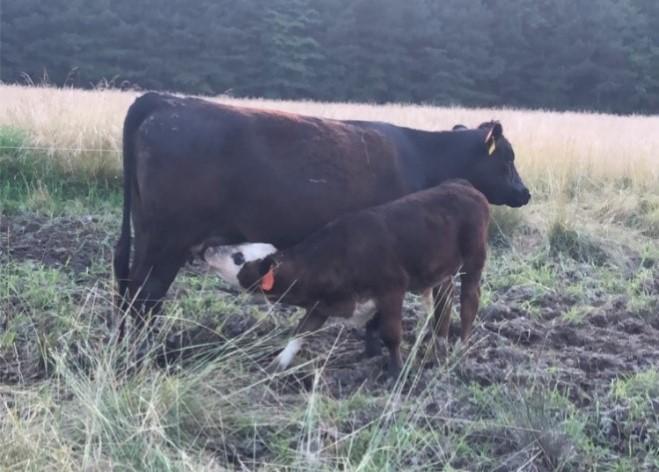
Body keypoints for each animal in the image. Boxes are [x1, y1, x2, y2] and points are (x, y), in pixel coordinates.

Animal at [113, 92, 530, 337]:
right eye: (508, 158)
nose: (525, 192)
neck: (425, 157)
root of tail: (165, 100)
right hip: (168, 240)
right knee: (145, 296)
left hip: (146, 234)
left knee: (130, 290)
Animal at [203, 180, 490, 377]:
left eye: (239, 257)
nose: (207, 249)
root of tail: (462, 185)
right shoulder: (320, 305)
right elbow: (300, 332)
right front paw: (277, 365)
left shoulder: (392, 289)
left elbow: (391, 334)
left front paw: (396, 371)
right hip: (440, 269)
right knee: (443, 301)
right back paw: (436, 342)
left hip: (474, 260)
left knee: (469, 301)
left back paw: (460, 347)